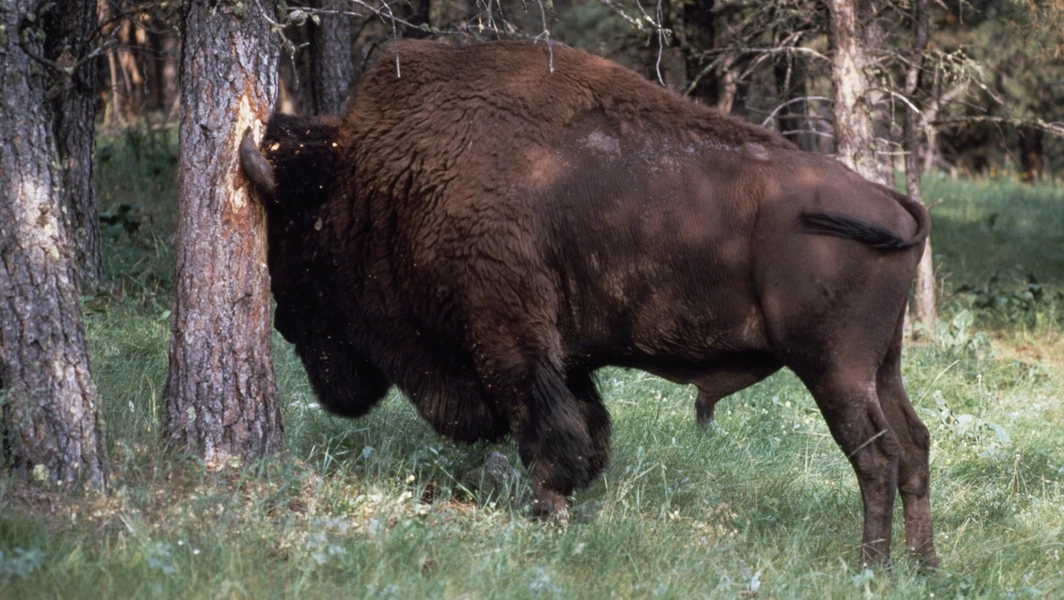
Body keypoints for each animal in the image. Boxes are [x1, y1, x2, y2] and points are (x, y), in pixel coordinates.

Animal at [239, 40, 937, 566]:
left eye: (294, 231)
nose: (281, 320)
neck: (379, 176)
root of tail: (891, 201)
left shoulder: (509, 341)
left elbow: (547, 430)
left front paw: (549, 511)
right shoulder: (562, 358)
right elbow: (586, 428)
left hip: (833, 369)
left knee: (876, 457)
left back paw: (871, 564)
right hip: (882, 366)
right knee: (915, 445)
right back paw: (922, 565)